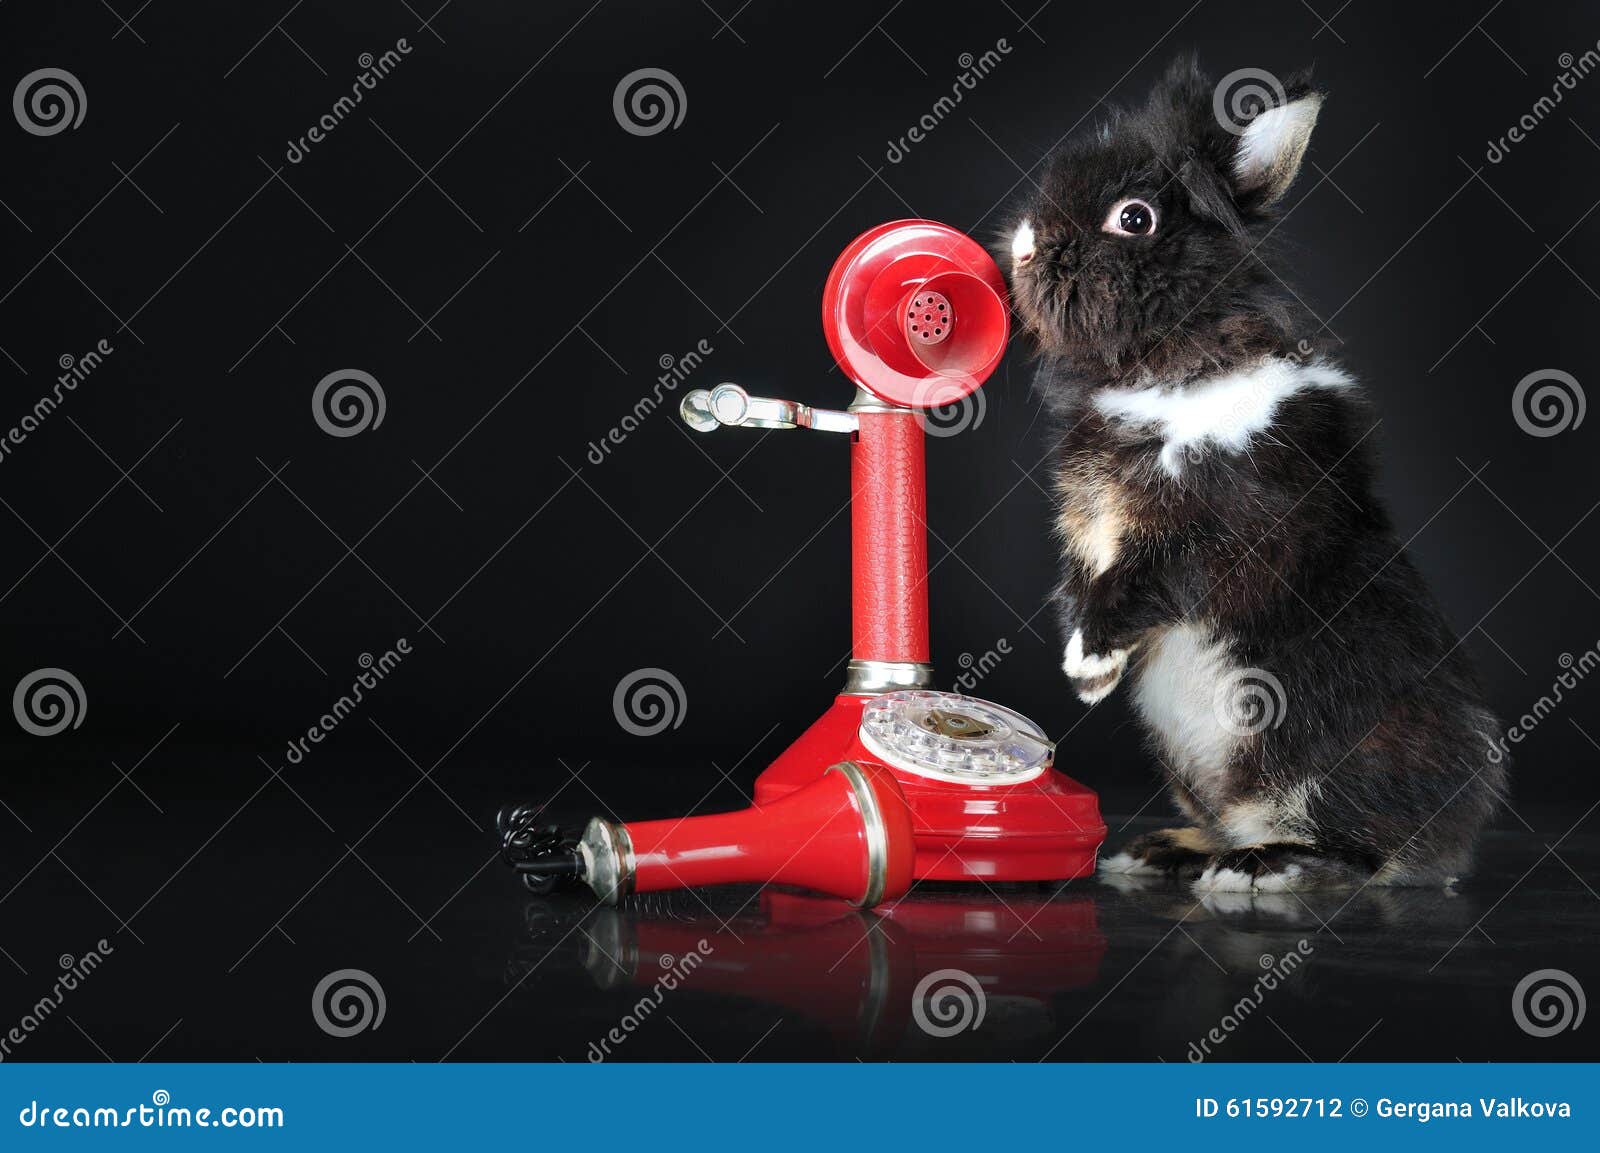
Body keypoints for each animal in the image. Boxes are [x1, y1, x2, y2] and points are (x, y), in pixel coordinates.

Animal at [1004, 56, 1505, 892]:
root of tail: (1451, 839)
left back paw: (1256, 866)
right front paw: (1088, 674)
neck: (1164, 366)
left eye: (1133, 218)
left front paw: (1090, 662)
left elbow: (1145, 583)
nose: (1023, 246)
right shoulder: (1087, 528)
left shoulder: (1220, 530)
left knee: (1354, 848)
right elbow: (1079, 585)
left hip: (1328, 749)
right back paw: (1163, 851)